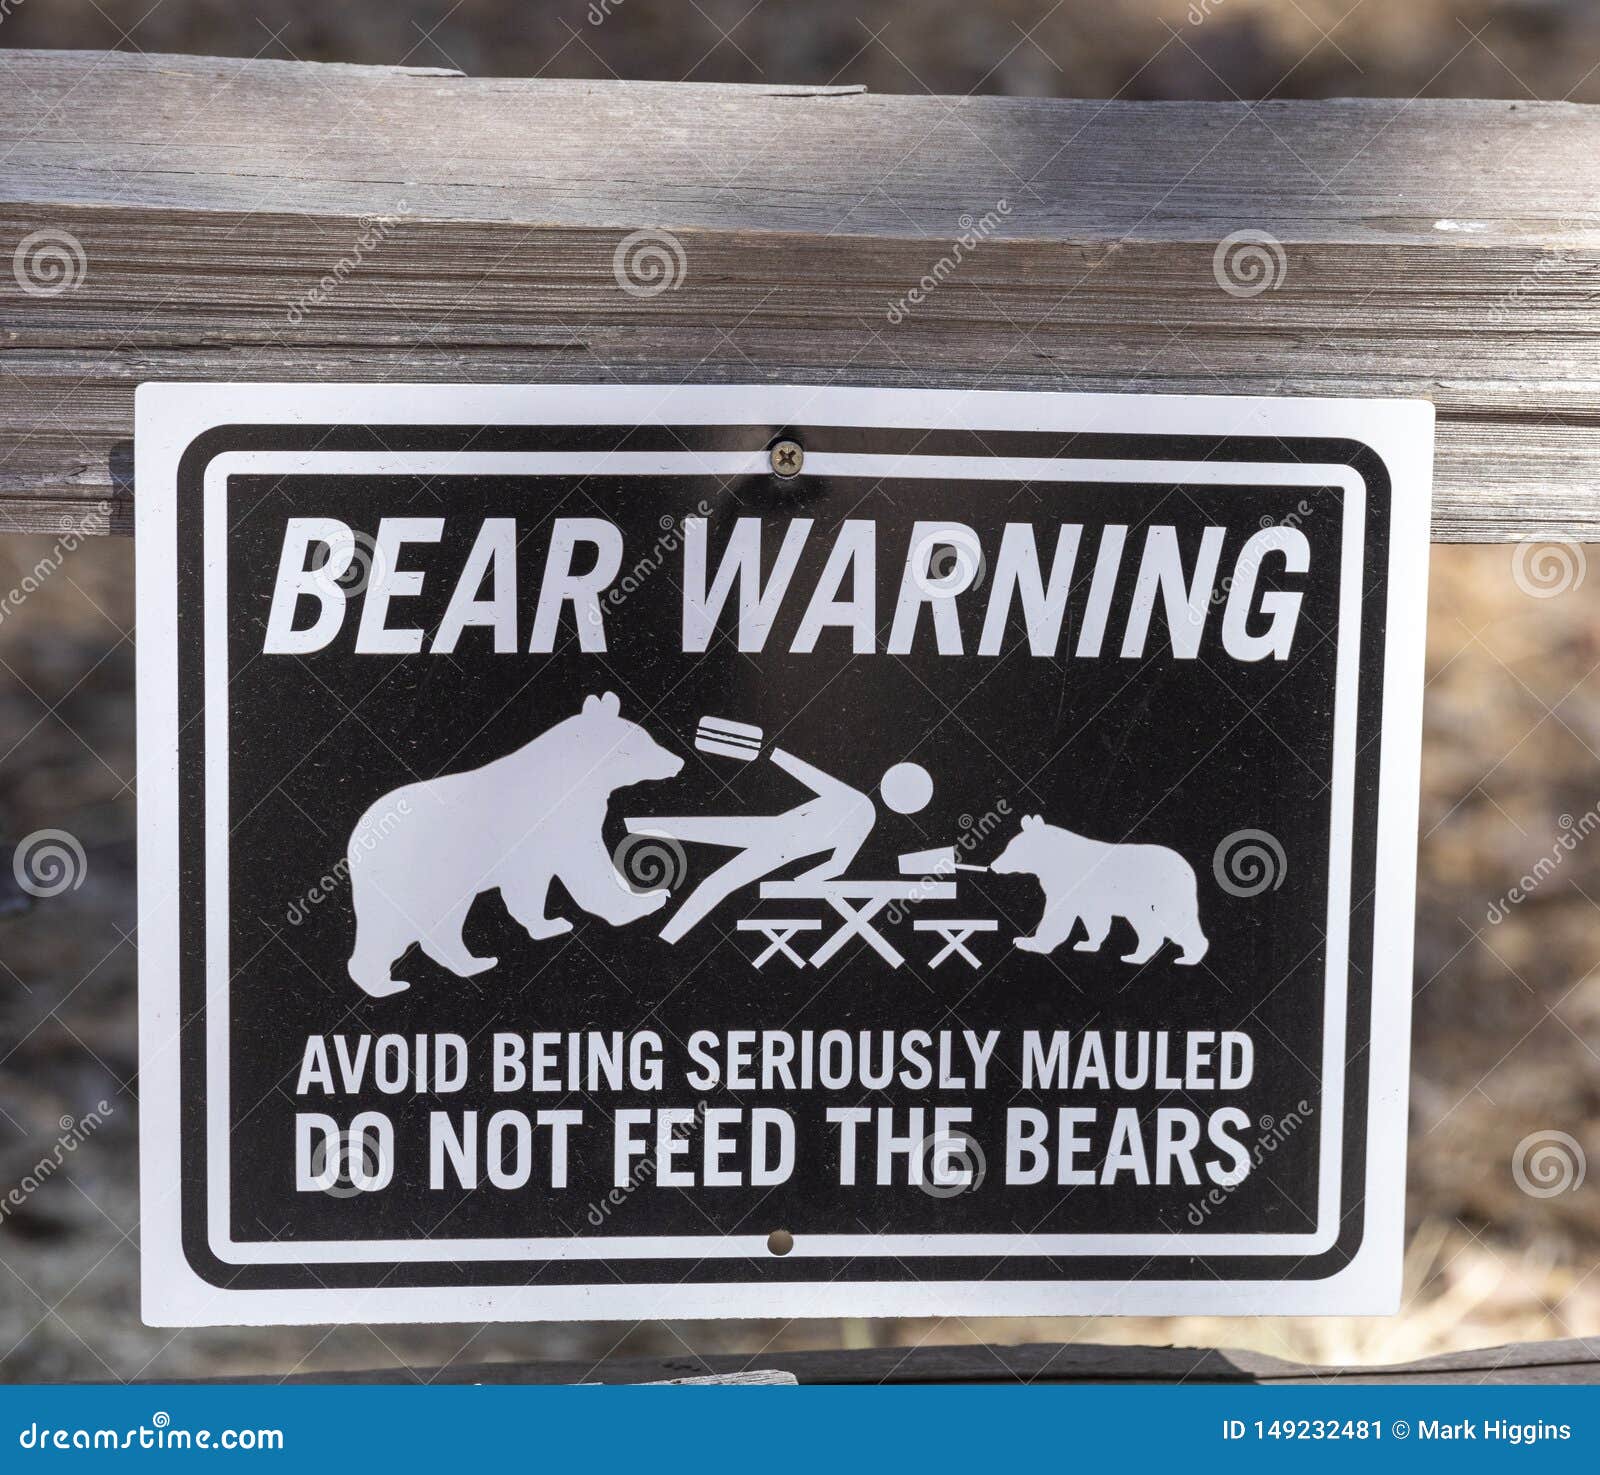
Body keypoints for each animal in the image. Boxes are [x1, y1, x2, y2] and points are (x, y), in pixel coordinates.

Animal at [345, 692, 683, 997]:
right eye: (642, 740)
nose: (678, 761)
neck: (574, 776)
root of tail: (357, 840)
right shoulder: (558, 821)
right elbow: (585, 864)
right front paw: (643, 901)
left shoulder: (532, 850)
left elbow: (530, 887)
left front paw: (549, 924)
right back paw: (389, 983)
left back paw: (465, 964)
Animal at [990, 814, 1208, 966]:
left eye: (1011, 848)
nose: (994, 864)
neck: (1055, 859)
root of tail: (1189, 872)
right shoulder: (1090, 899)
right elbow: (1094, 919)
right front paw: (1088, 943)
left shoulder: (1067, 883)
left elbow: (1058, 914)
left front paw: (1029, 941)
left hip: (1163, 895)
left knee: (1171, 920)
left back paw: (1184, 957)